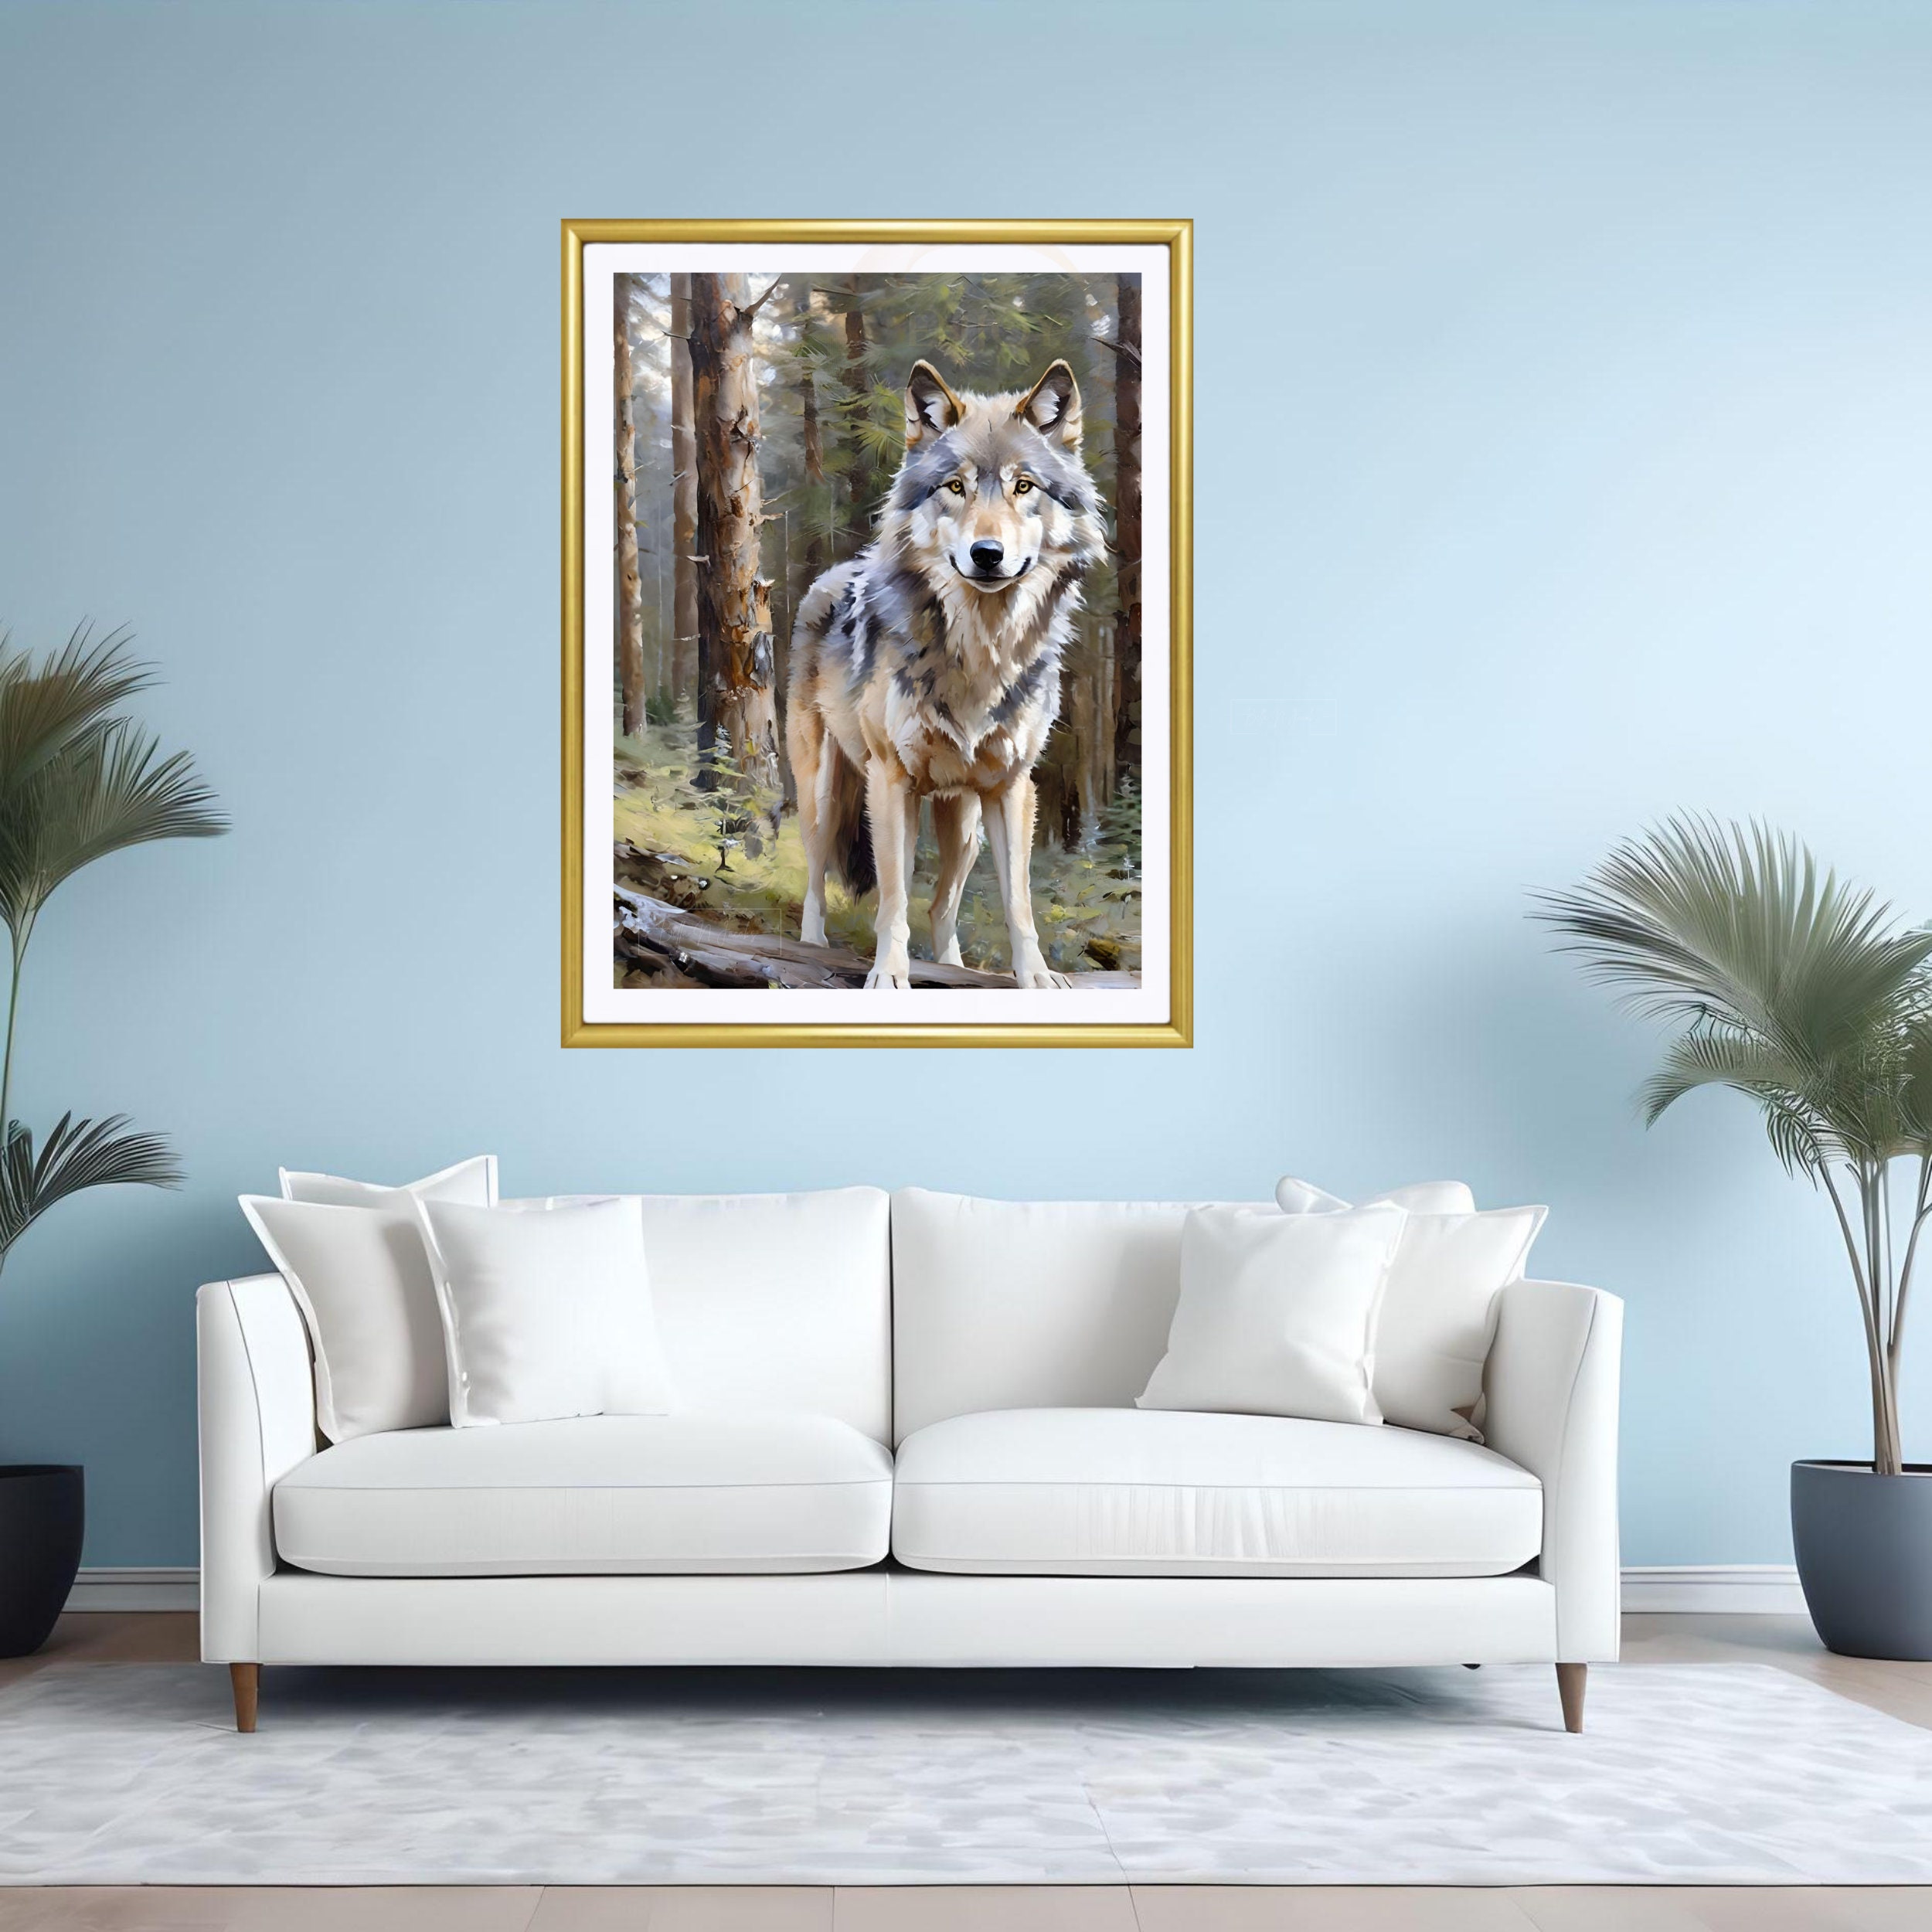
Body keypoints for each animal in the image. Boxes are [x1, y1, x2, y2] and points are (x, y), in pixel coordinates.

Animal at [786, 357, 1108, 988]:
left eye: (1023, 487)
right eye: (955, 487)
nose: (987, 554)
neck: (980, 652)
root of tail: (834, 572)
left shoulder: (1013, 787)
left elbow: (1018, 900)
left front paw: (1036, 976)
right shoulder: (890, 781)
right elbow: (892, 898)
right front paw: (888, 975)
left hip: (964, 821)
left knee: (941, 905)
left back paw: (951, 966)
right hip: (825, 793)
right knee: (816, 876)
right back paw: (812, 946)